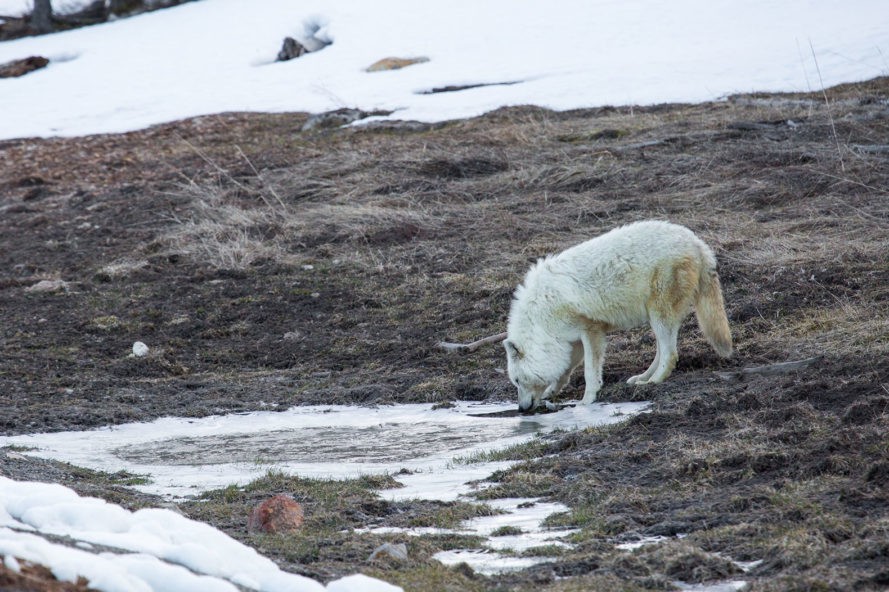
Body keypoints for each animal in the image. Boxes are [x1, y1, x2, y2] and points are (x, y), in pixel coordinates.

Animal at [504, 220, 732, 412]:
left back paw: (653, 381)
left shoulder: (591, 331)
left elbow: (589, 372)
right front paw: (552, 391)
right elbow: (563, 371)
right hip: (656, 320)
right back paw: (642, 378)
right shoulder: (571, 341)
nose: (521, 409)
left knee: (671, 354)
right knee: (662, 352)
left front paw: (586, 401)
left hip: (659, 316)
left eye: (517, 381)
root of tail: (697, 242)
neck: (539, 314)